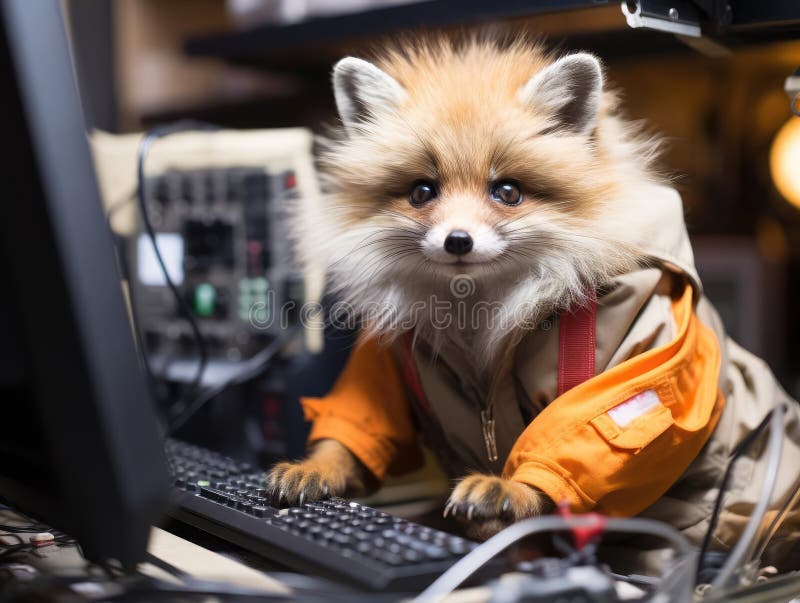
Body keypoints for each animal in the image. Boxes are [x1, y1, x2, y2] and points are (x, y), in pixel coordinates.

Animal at [264, 34, 800, 548]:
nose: (458, 241)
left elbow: (564, 444)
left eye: (507, 192)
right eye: (421, 192)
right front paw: (315, 468)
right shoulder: (387, 366)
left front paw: (508, 491)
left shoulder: (643, 355)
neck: (478, 322)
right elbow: (351, 432)